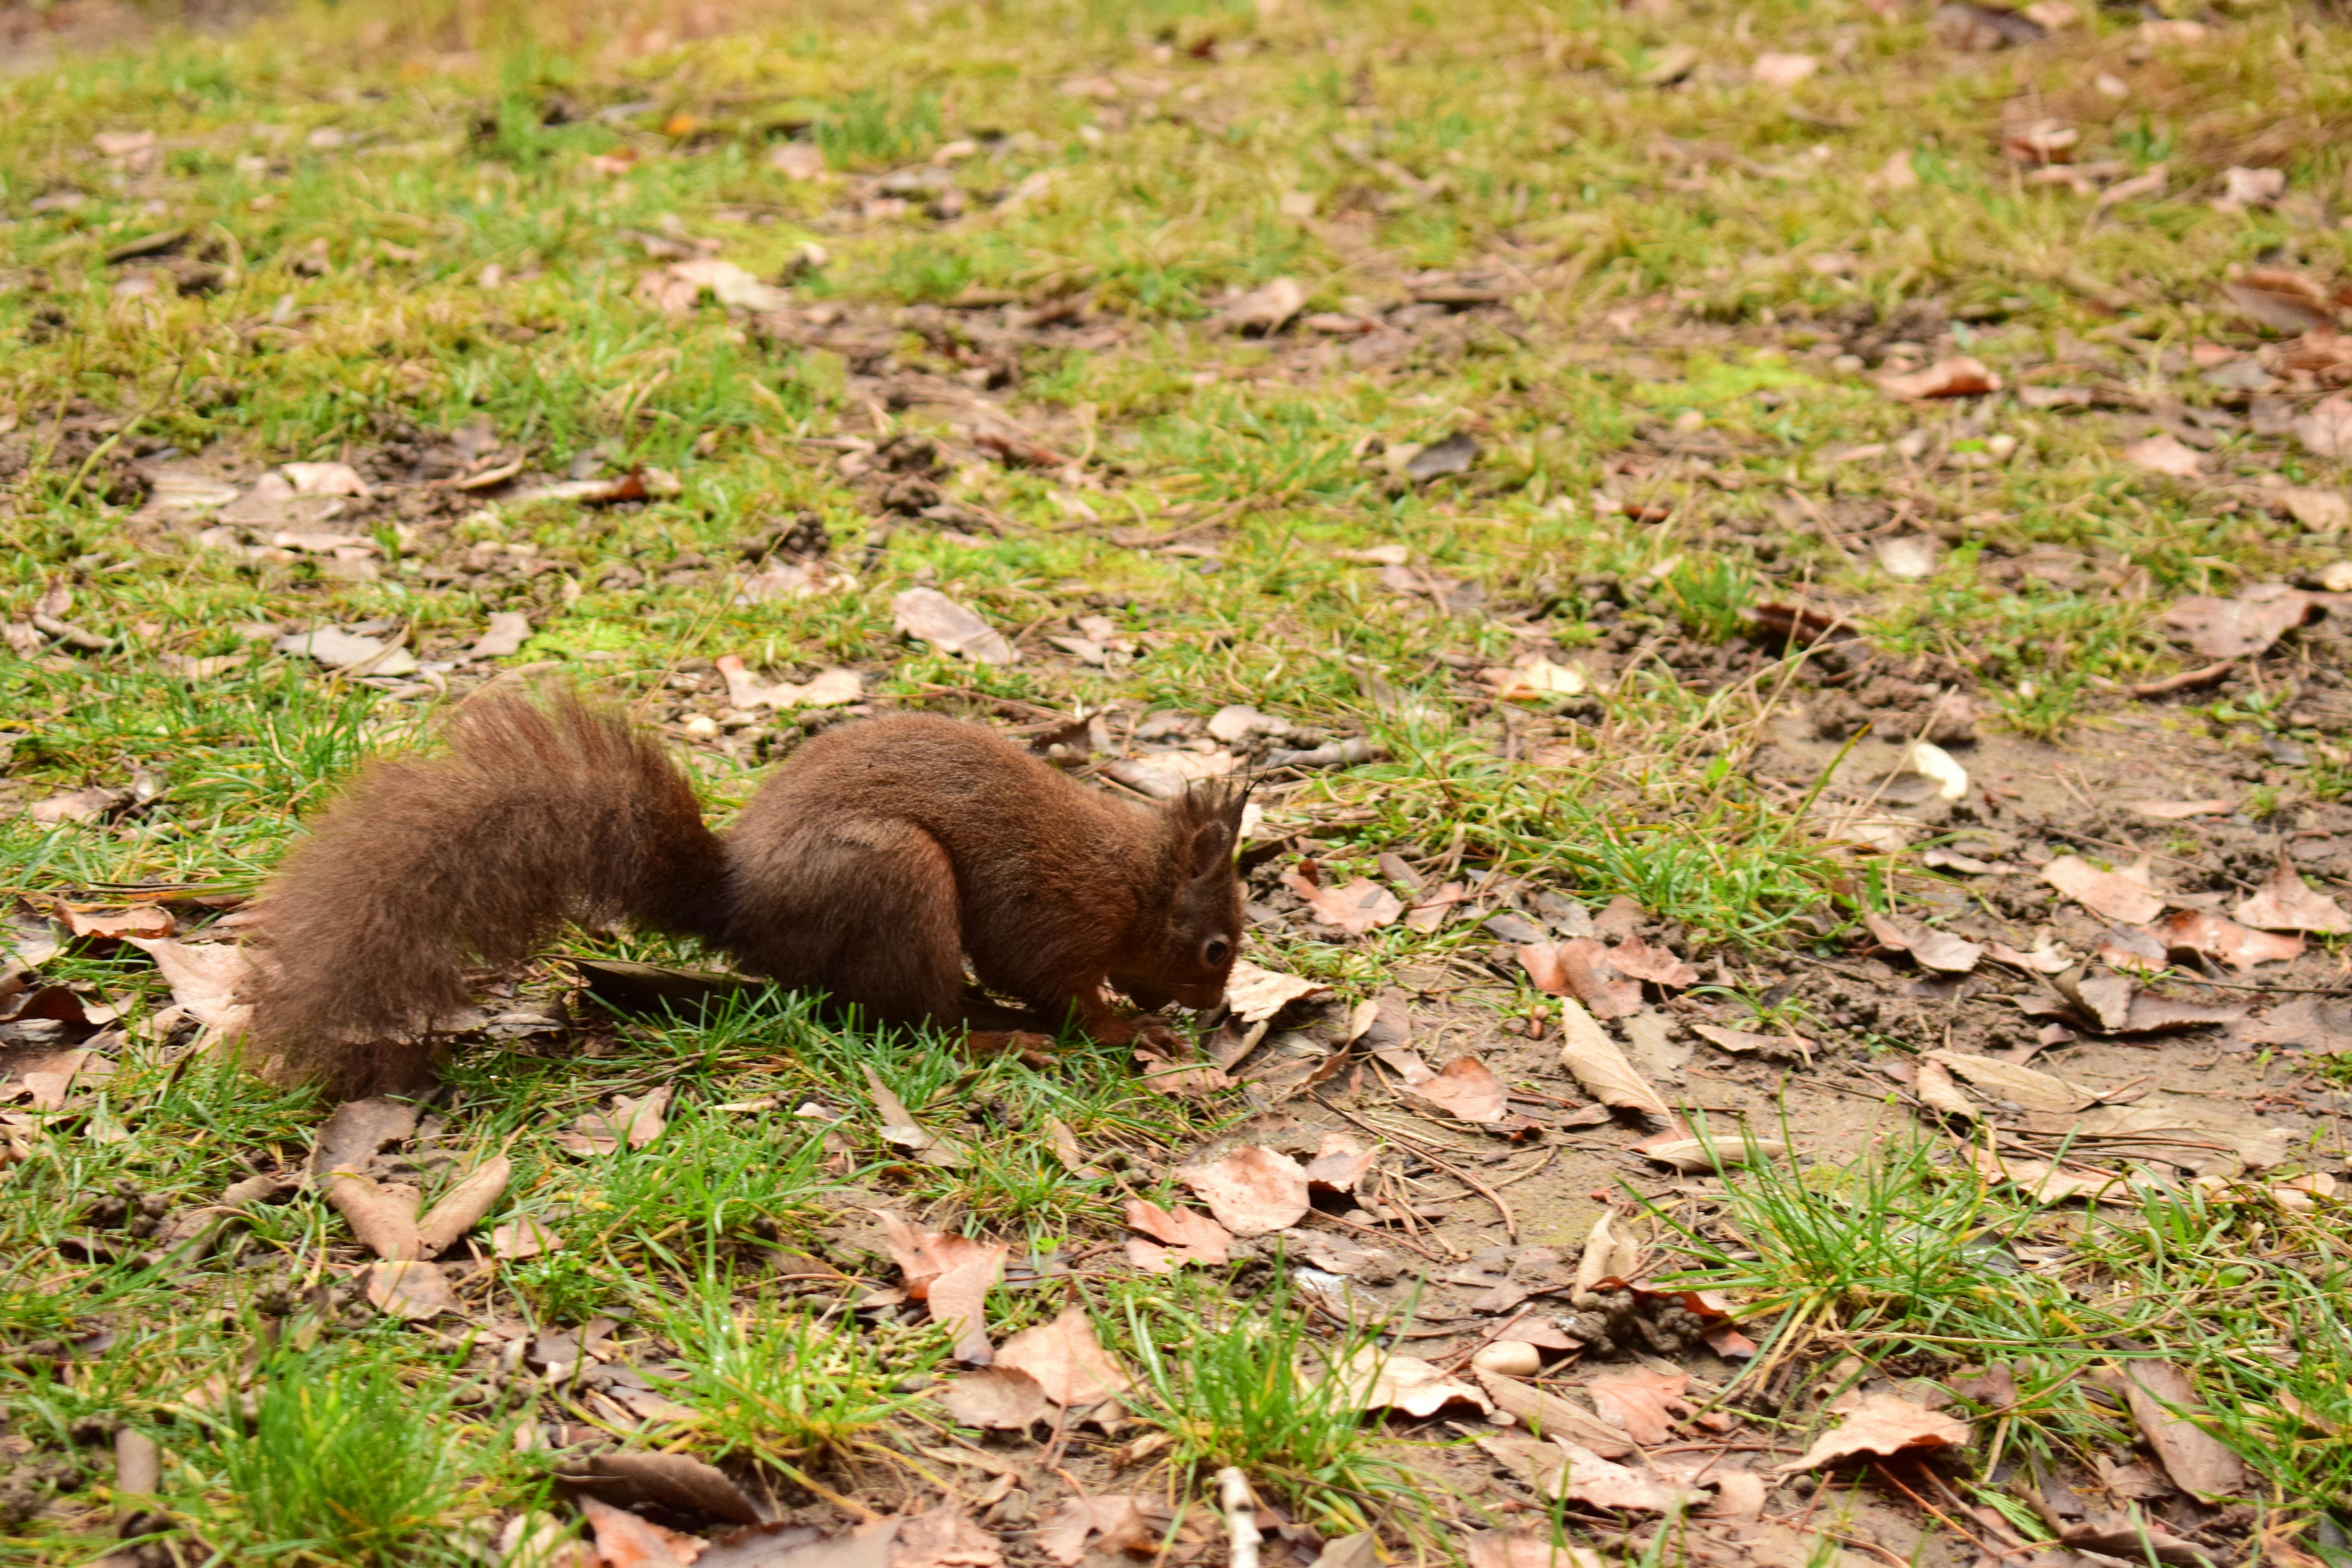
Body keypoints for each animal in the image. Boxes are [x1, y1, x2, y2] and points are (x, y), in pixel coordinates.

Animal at [245, 686, 1249, 1099]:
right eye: (1217, 948)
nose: (1215, 1007)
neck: (1135, 878)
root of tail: (744, 912)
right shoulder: (1057, 914)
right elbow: (1060, 988)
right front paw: (1132, 1026)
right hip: (898, 877)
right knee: (916, 1018)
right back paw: (998, 1036)